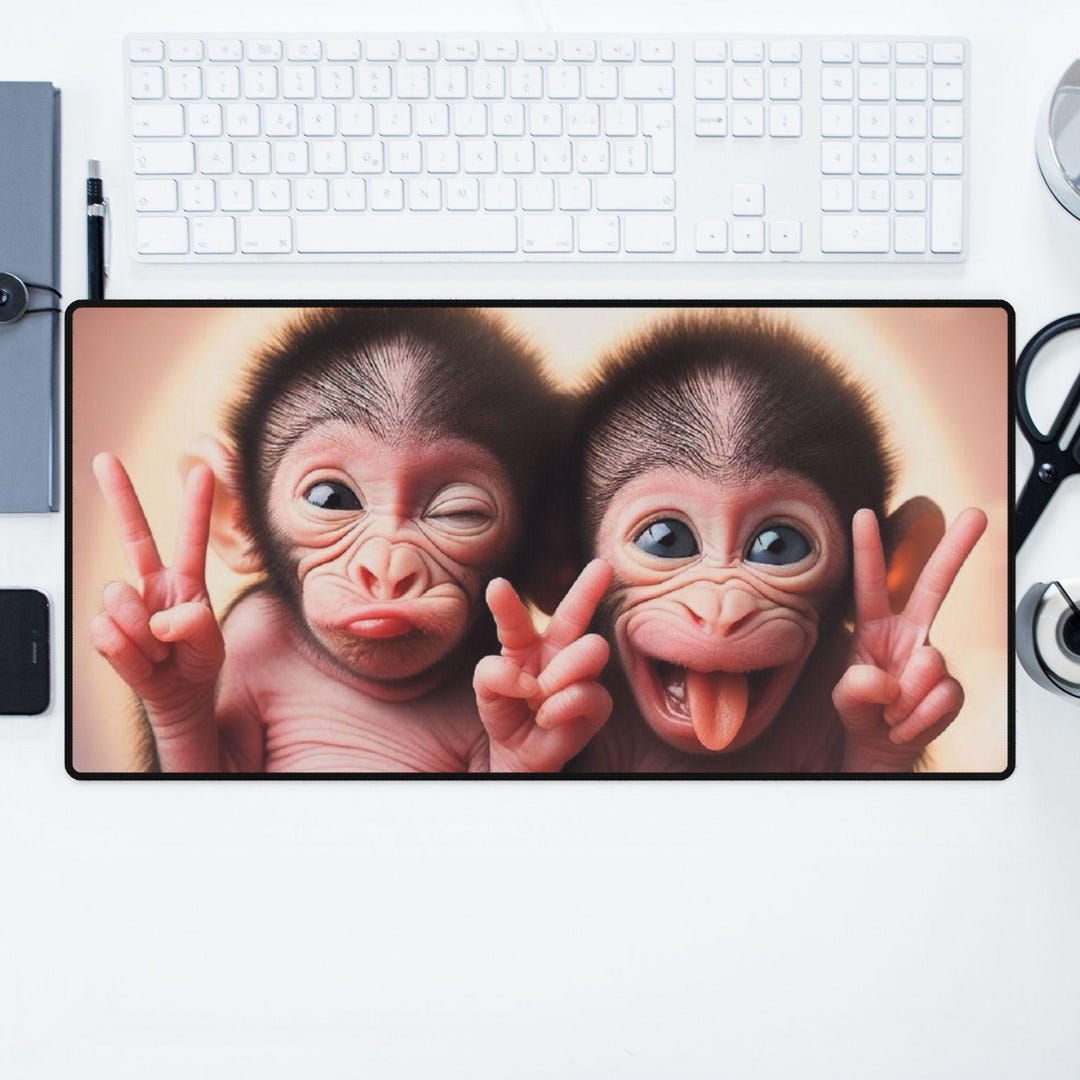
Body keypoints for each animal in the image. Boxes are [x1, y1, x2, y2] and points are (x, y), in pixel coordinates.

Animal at [89, 306, 611, 773]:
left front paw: (529, 711)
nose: (387, 570)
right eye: (331, 498)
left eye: (460, 515)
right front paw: (170, 662)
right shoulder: (248, 635)